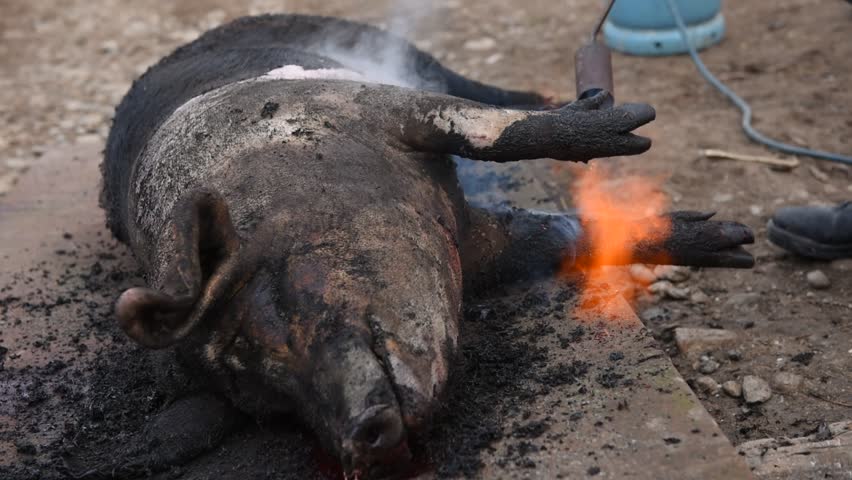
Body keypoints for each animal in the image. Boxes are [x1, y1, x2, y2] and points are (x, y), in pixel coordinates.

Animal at [87, 14, 754, 479]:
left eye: (278, 302)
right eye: (265, 399)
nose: (361, 439)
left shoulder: (369, 106)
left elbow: (493, 131)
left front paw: (631, 130)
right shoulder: (483, 247)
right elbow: (563, 237)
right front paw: (733, 244)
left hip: (396, 50)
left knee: (481, 89)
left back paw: (575, 98)